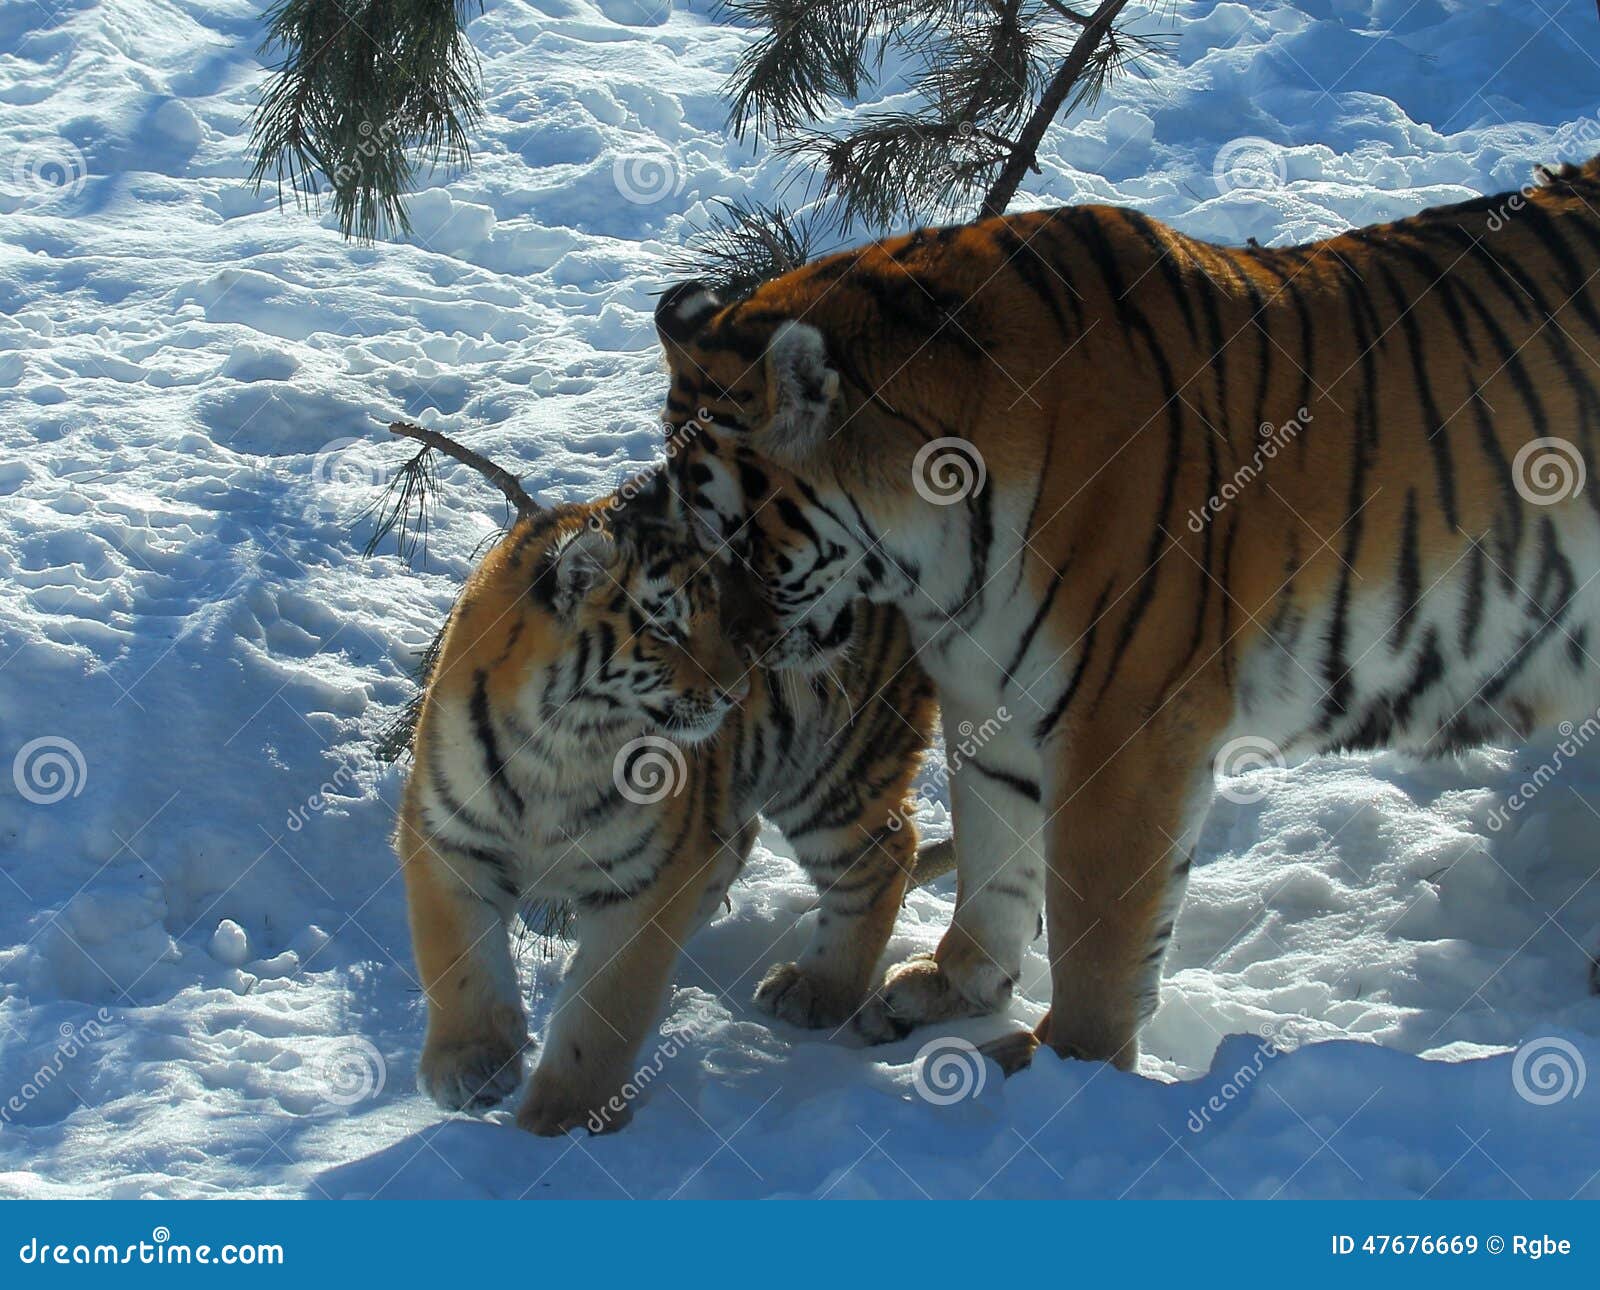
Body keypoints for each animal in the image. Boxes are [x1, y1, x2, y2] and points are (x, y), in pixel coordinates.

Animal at [395, 469, 937, 1134]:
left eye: (722, 615)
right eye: (667, 629)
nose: (737, 692)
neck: (561, 745)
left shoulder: (647, 878)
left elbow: (605, 1008)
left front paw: (564, 1121)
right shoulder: (450, 839)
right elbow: (458, 960)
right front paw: (469, 1066)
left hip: (835, 768)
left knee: (885, 857)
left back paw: (818, 990)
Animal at [650, 155, 1600, 1074]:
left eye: (735, 540)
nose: (737, 670)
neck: (941, 557)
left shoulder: (1125, 722)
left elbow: (1098, 926)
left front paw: (1067, 1071)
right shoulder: (986, 699)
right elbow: (994, 858)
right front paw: (954, 988)